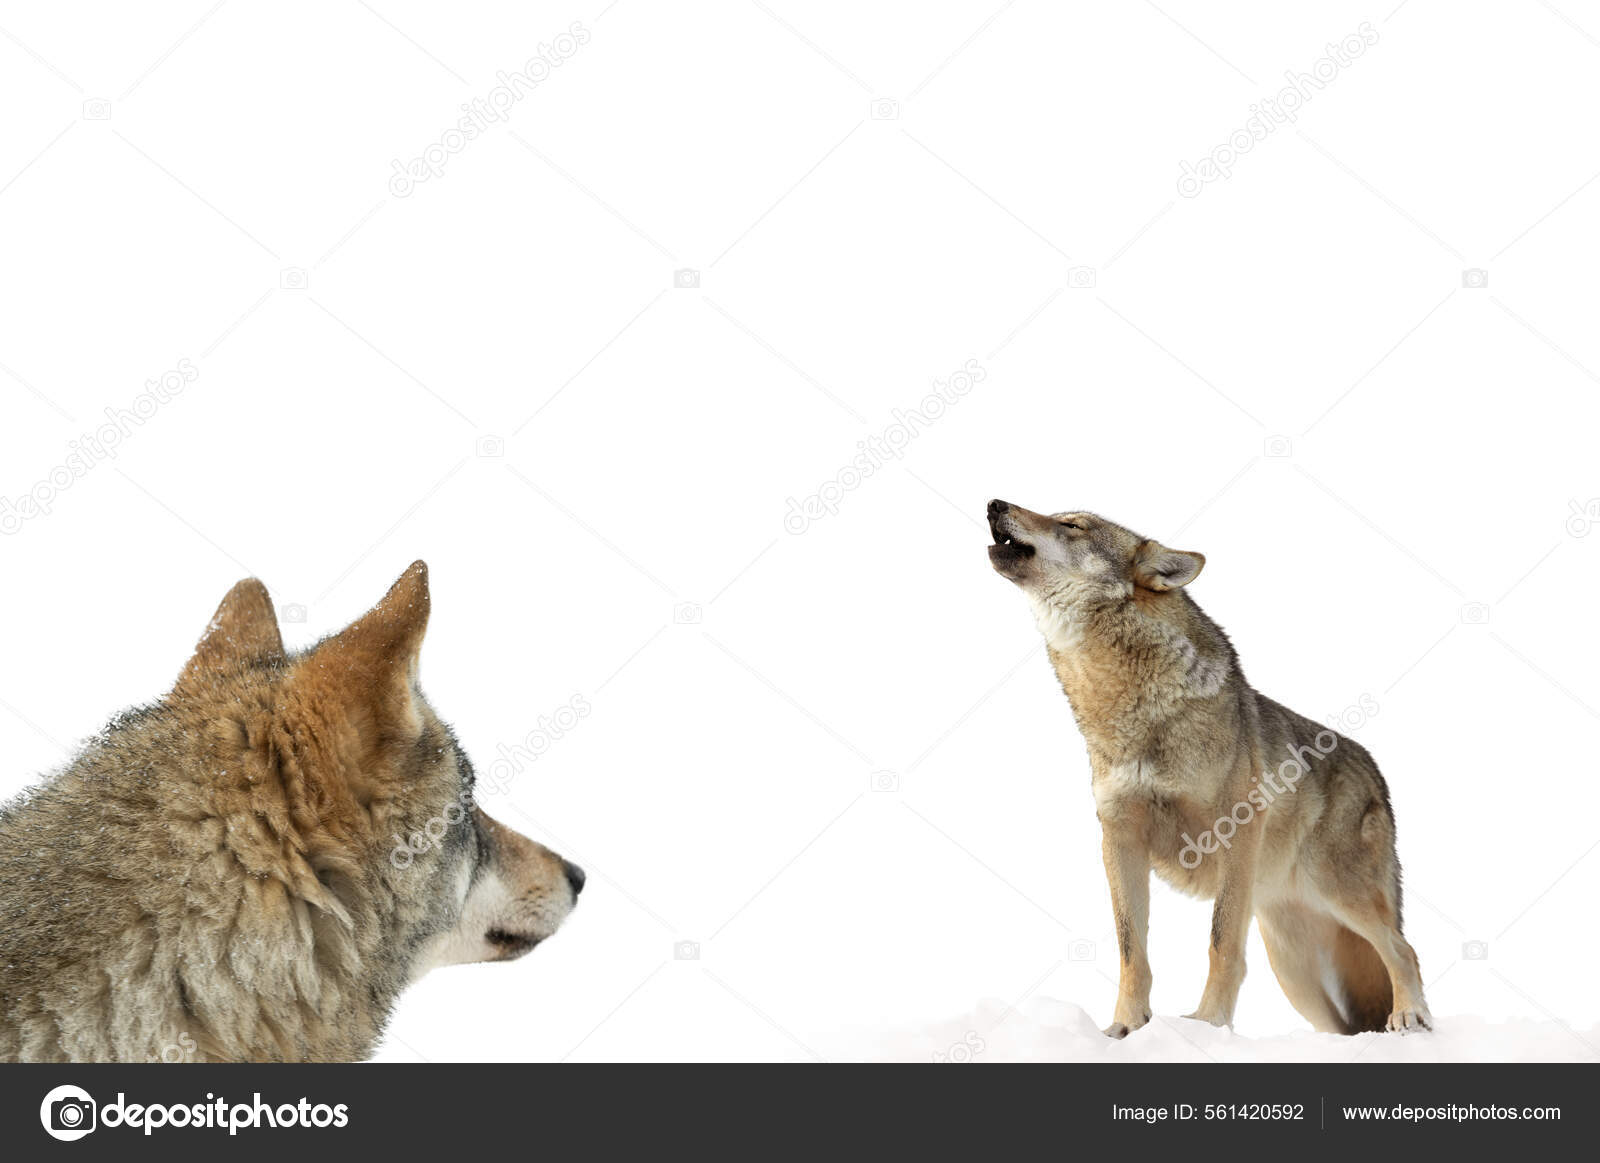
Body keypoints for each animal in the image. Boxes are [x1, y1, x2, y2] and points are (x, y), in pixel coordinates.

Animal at [986, 501, 1430, 1036]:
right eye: (1058, 517)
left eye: (1072, 525)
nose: (994, 504)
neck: (1132, 709)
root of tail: (1376, 771)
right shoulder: (1119, 839)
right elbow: (1132, 951)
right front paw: (1125, 1029)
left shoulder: (1236, 830)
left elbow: (1222, 943)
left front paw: (1207, 1024)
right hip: (1295, 973)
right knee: (1345, 1020)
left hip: (1339, 894)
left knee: (1404, 950)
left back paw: (1409, 1015)